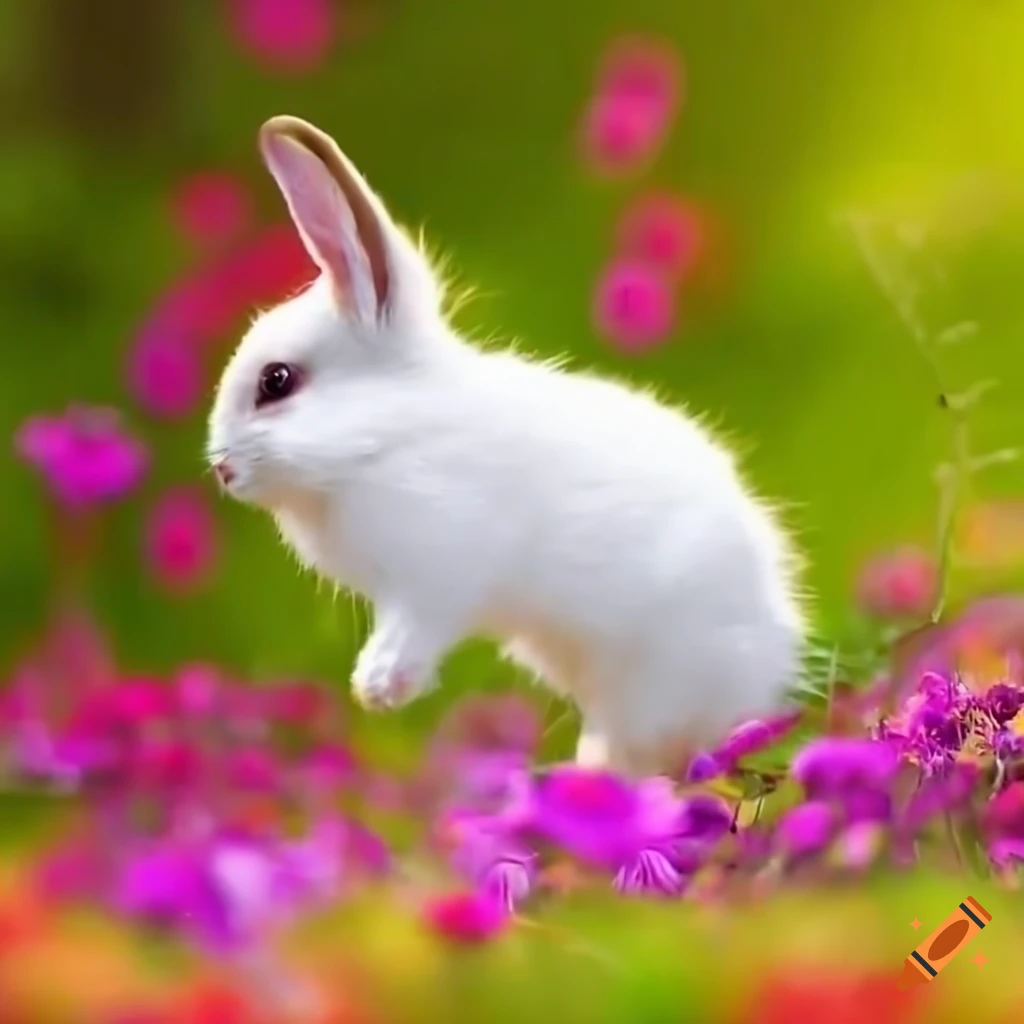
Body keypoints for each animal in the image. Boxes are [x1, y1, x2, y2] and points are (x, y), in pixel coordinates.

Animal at [206, 115, 807, 777]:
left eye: (277, 381)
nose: (223, 470)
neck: (380, 439)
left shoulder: (439, 576)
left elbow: (419, 626)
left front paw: (379, 686)